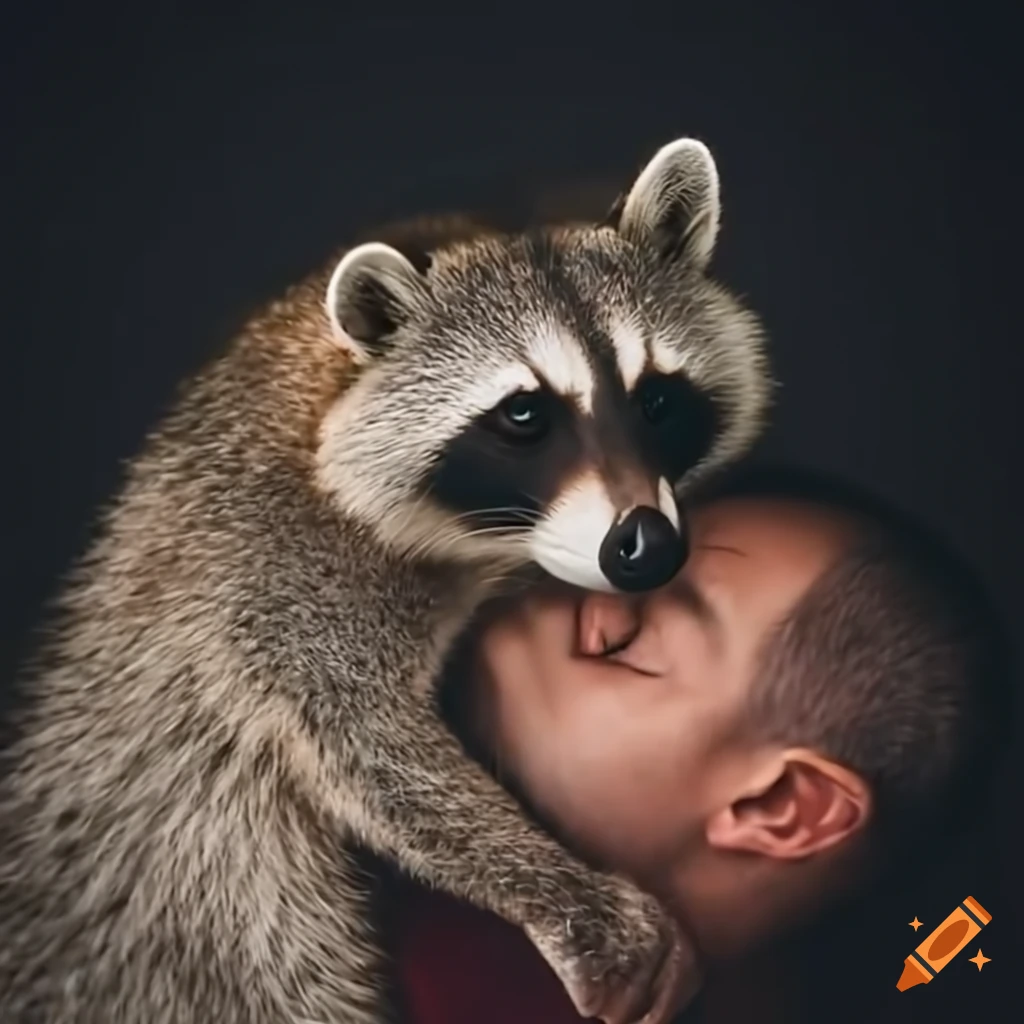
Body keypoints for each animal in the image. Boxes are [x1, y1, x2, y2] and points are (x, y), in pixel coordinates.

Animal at [0, 138, 770, 1024]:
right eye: (523, 415)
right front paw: (555, 887)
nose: (646, 549)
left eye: (656, 400)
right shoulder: (274, 558)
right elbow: (361, 732)